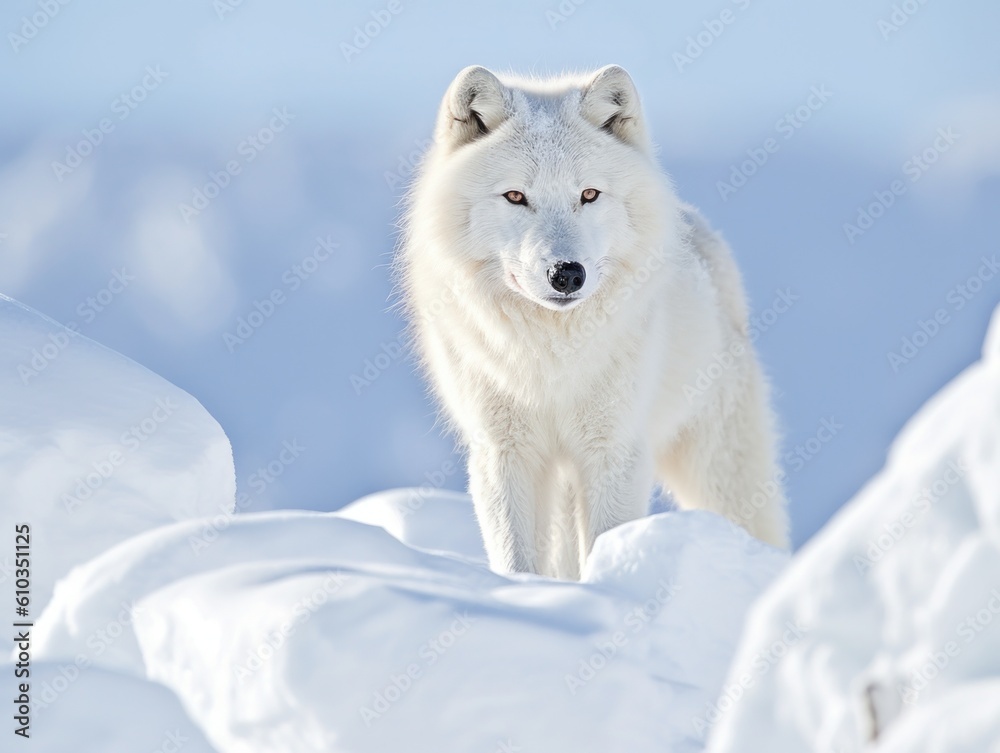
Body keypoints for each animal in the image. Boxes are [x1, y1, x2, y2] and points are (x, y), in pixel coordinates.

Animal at [398, 65, 789, 579]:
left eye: (588, 195)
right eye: (515, 196)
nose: (567, 273)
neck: (551, 356)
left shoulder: (613, 451)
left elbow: (607, 538)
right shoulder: (504, 452)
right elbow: (516, 557)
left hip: (717, 466)